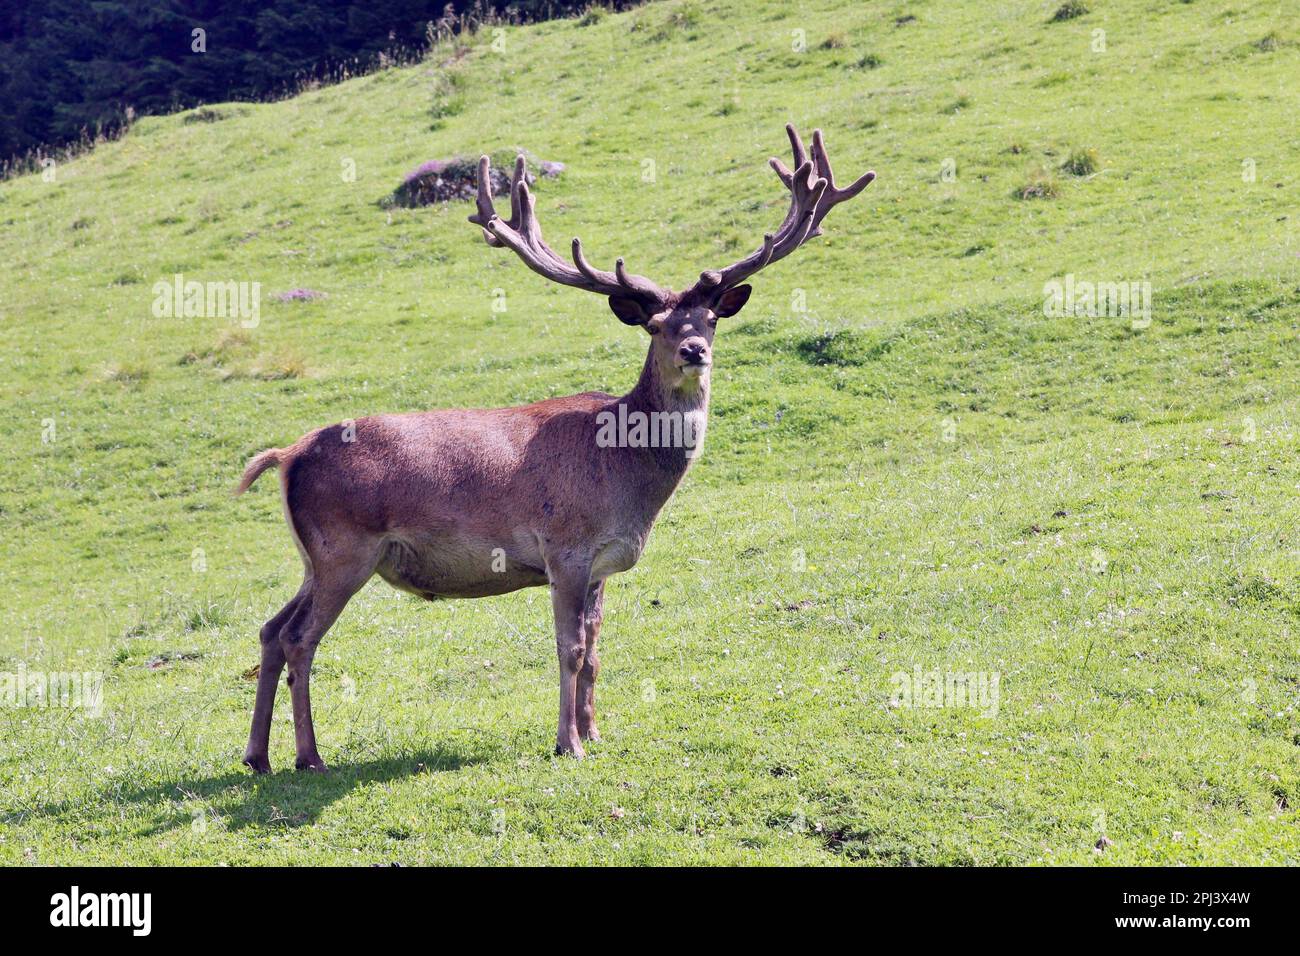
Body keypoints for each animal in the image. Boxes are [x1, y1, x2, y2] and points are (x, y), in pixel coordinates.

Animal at [235, 125, 874, 772]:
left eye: (711, 319)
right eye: (656, 326)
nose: (694, 351)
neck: (628, 475)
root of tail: (287, 455)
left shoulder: (602, 563)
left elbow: (594, 647)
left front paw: (596, 731)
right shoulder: (564, 546)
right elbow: (568, 648)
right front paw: (568, 743)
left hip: (315, 557)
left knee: (269, 628)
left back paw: (257, 755)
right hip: (345, 548)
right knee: (299, 637)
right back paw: (309, 756)